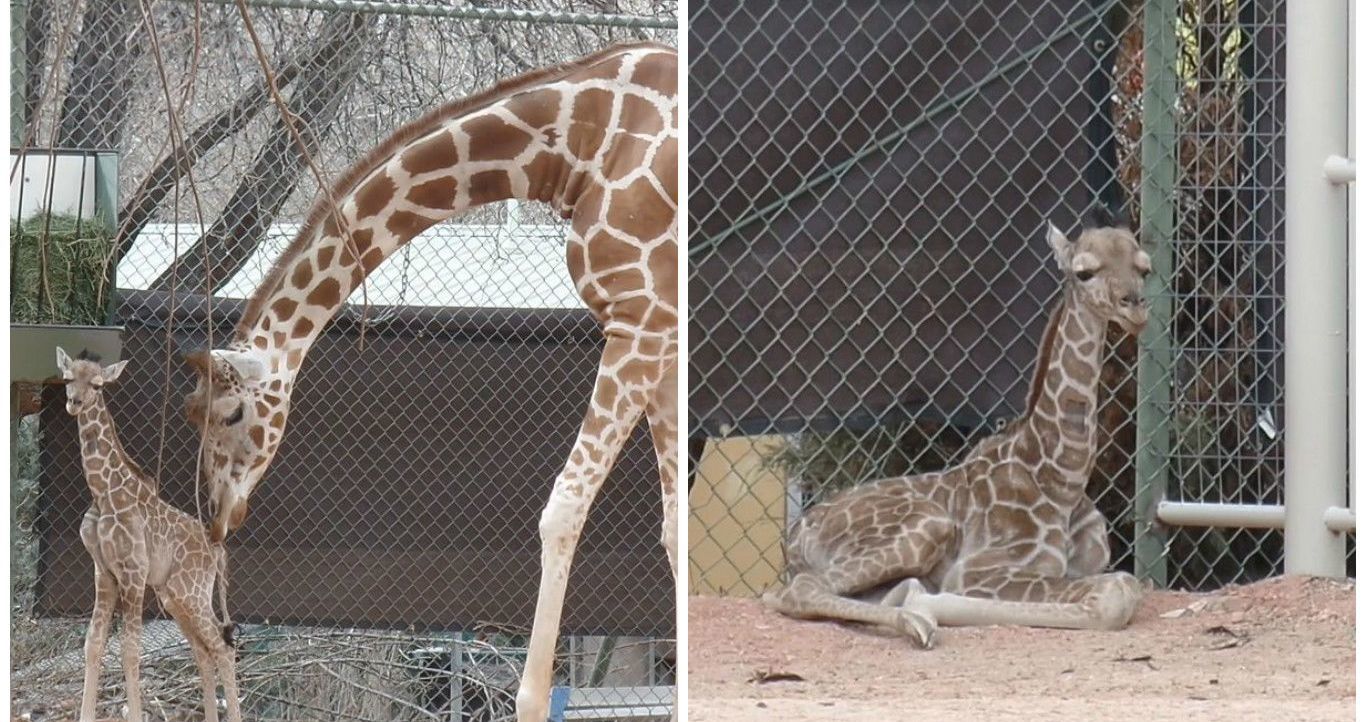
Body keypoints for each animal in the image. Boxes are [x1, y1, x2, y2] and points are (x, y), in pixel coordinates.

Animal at [55, 348, 241, 722]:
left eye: (97, 384)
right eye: (68, 378)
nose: (74, 403)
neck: (103, 492)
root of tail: (217, 551)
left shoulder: (133, 571)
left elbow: (130, 650)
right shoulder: (104, 571)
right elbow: (93, 644)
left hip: (192, 592)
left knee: (222, 648)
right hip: (173, 596)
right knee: (204, 652)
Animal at [178, 42, 677, 721]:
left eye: (230, 415)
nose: (219, 516)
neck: (574, 146)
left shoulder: (640, 321)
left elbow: (564, 507)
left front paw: (529, 701)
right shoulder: (664, 336)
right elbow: (673, 527)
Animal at [763, 222, 1151, 648]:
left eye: (1144, 268)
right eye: (1084, 272)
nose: (1135, 308)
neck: (1062, 479)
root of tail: (796, 534)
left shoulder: (1091, 564)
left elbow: (1126, 583)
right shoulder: (979, 571)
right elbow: (1117, 593)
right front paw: (928, 605)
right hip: (928, 526)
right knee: (796, 590)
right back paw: (914, 621)